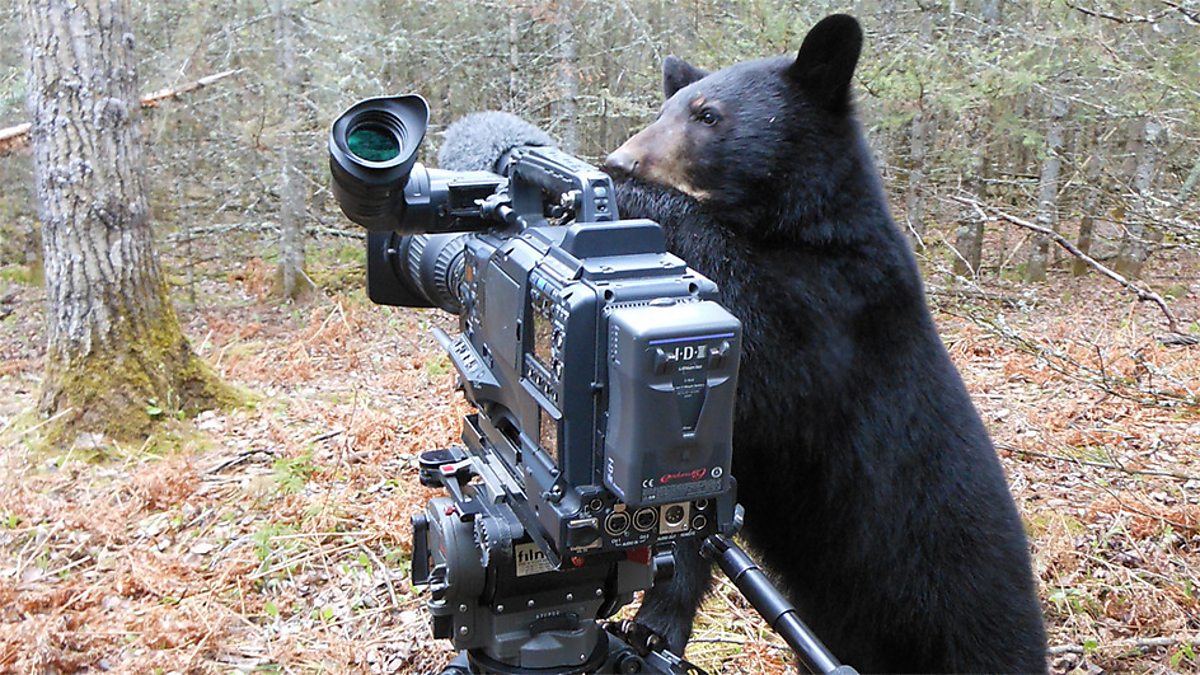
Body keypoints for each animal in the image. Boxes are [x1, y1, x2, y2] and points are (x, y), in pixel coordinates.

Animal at [603, 14, 1047, 674]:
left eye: (708, 115)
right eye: (667, 108)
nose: (620, 161)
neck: (795, 223)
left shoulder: (842, 302)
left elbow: (760, 340)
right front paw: (655, 623)